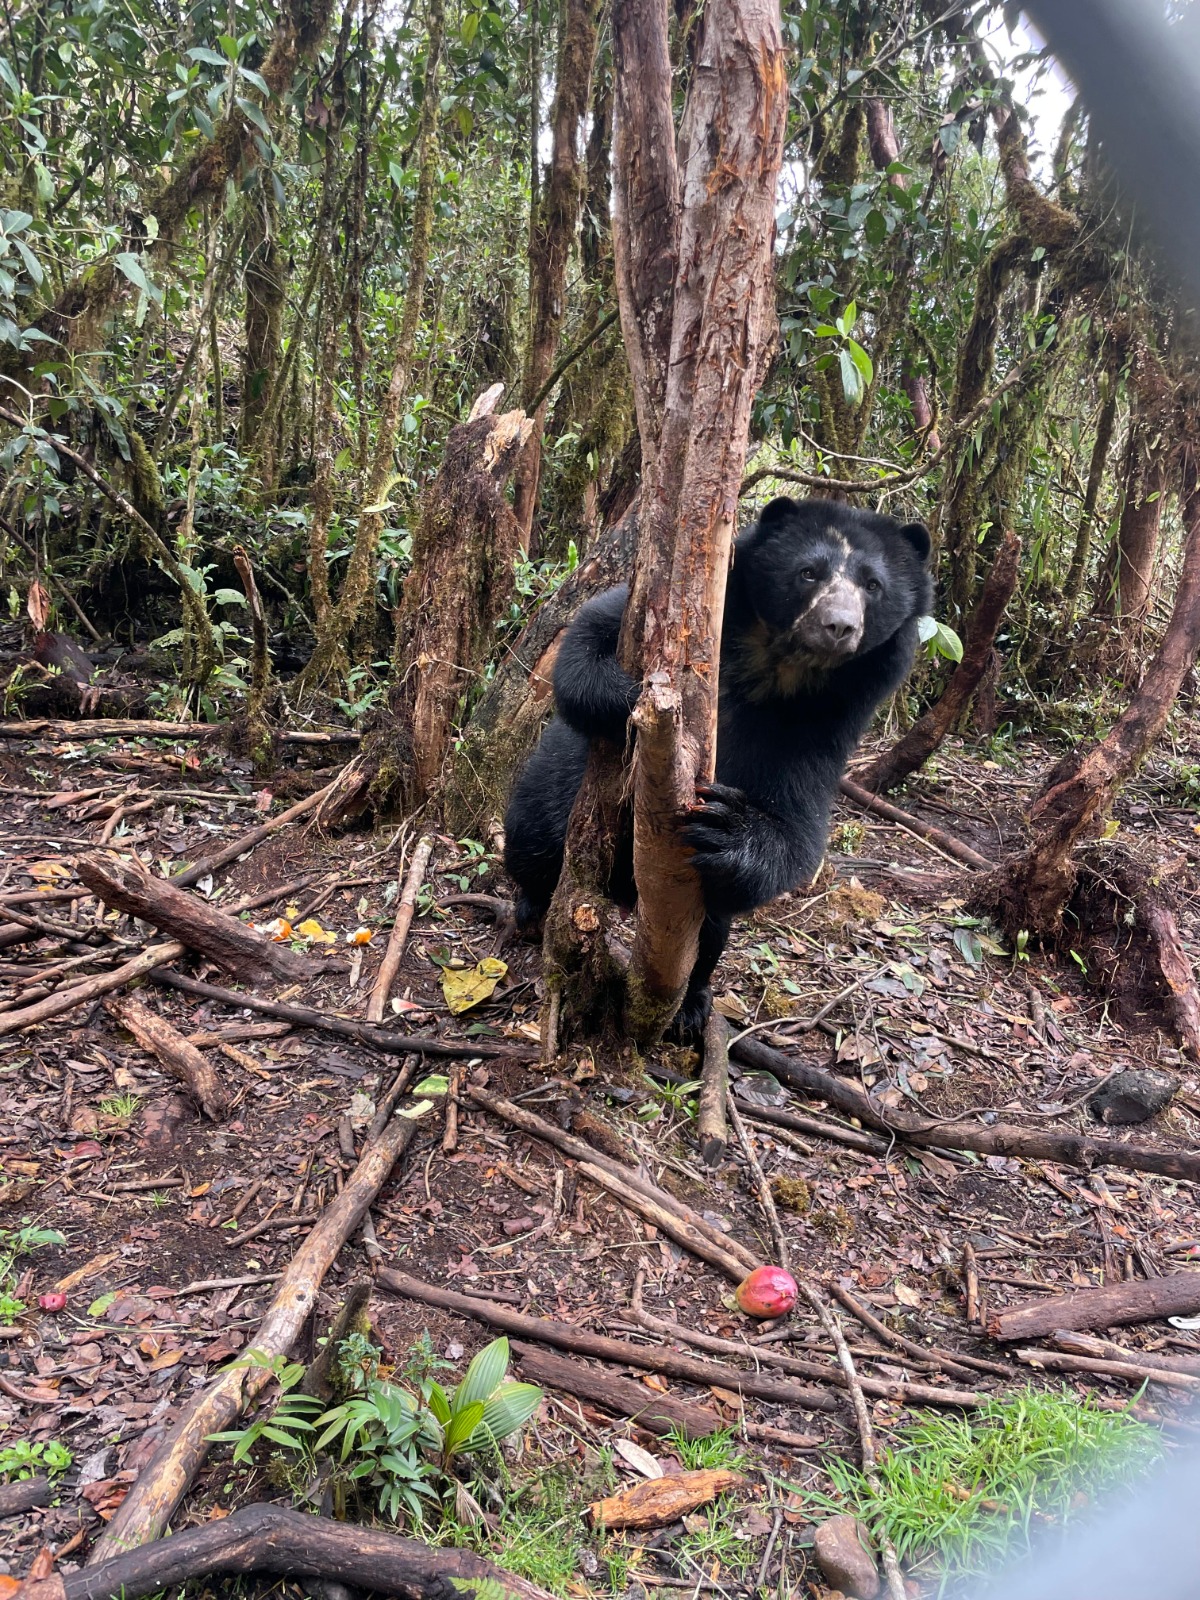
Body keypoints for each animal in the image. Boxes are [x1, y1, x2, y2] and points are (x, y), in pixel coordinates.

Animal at [503, 496, 933, 1034]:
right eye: (808, 572)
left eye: (873, 585)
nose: (838, 626)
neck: (779, 665)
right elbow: (591, 629)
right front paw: (623, 697)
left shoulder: (823, 729)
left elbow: (798, 827)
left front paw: (724, 826)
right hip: (550, 789)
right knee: (533, 835)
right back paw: (531, 904)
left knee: (711, 929)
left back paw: (690, 1005)